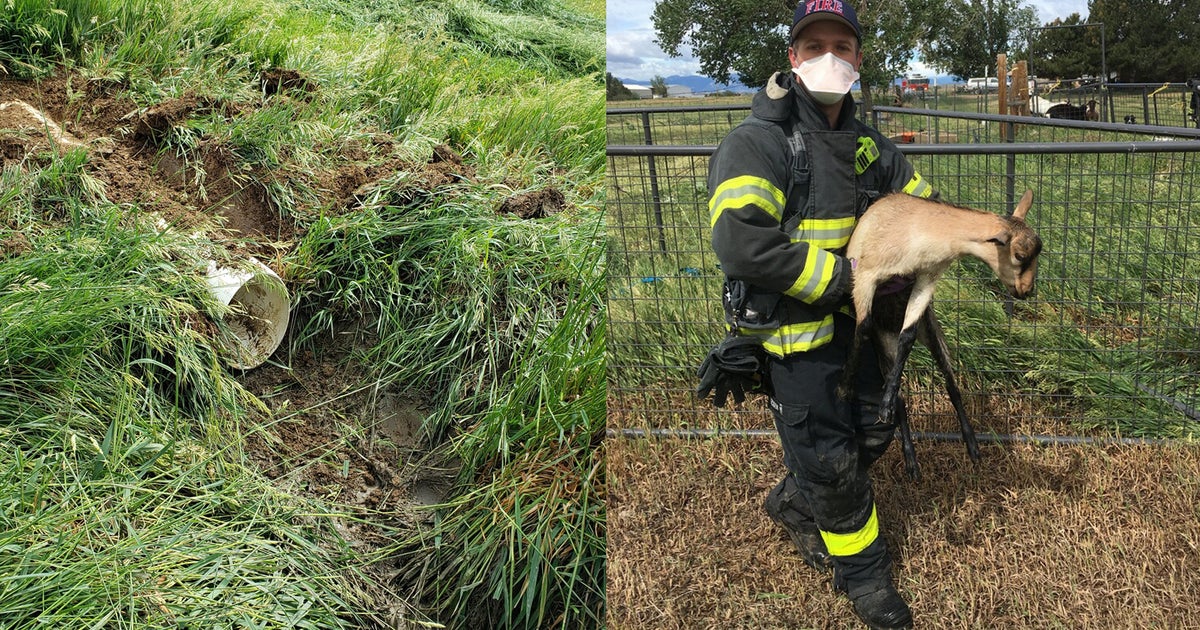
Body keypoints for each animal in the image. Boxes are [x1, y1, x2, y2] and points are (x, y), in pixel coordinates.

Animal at [838, 190, 1042, 480]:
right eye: (1019, 254)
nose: (1026, 291)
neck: (914, 231)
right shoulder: (865, 276)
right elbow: (863, 327)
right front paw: (844, 388)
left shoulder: (926, 279)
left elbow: (908, 335)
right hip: (883, 347)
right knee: (900, 397)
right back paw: (909, 457)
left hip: (932, 335)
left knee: (950, 384)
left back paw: (970, 446)